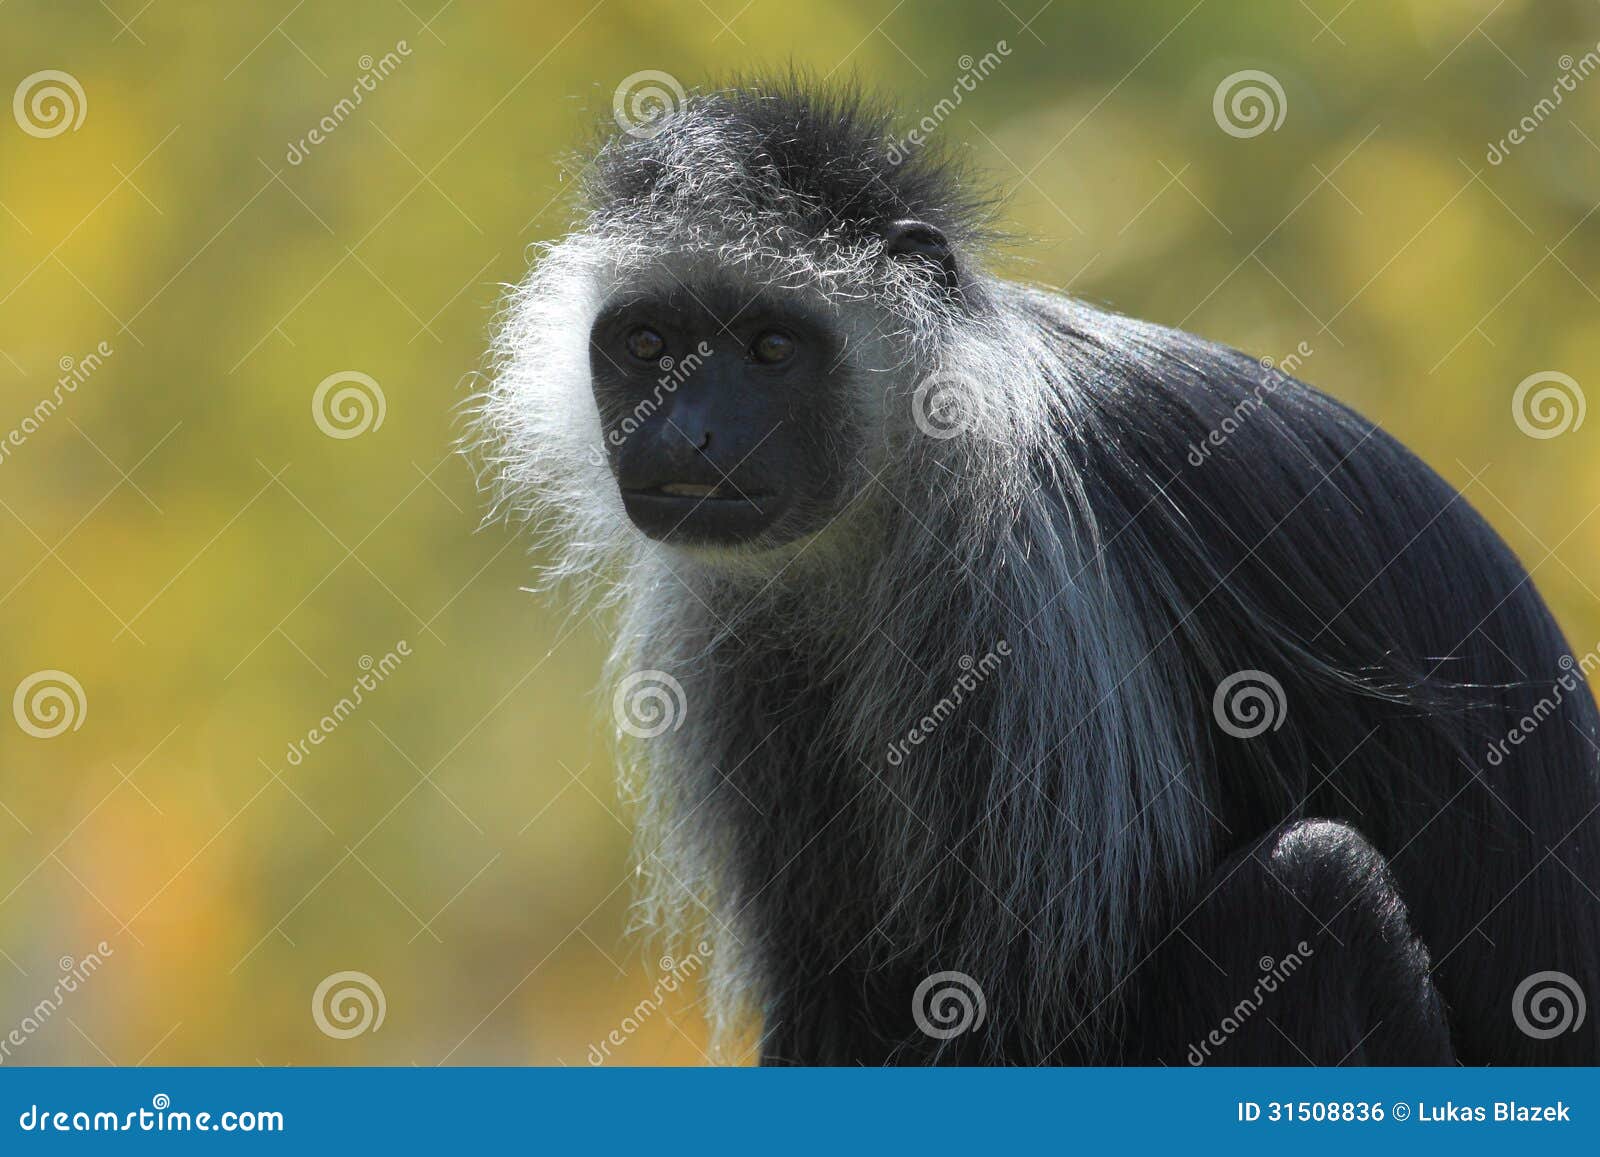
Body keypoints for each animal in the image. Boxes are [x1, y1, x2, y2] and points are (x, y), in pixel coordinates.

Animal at [472, 78, 1600, 1065]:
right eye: (648, 343)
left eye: (768, 348)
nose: (686, 434)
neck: (895, 478)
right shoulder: (735, 625)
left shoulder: (1020, 587)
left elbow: (1014, 1008)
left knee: (1309, 891)